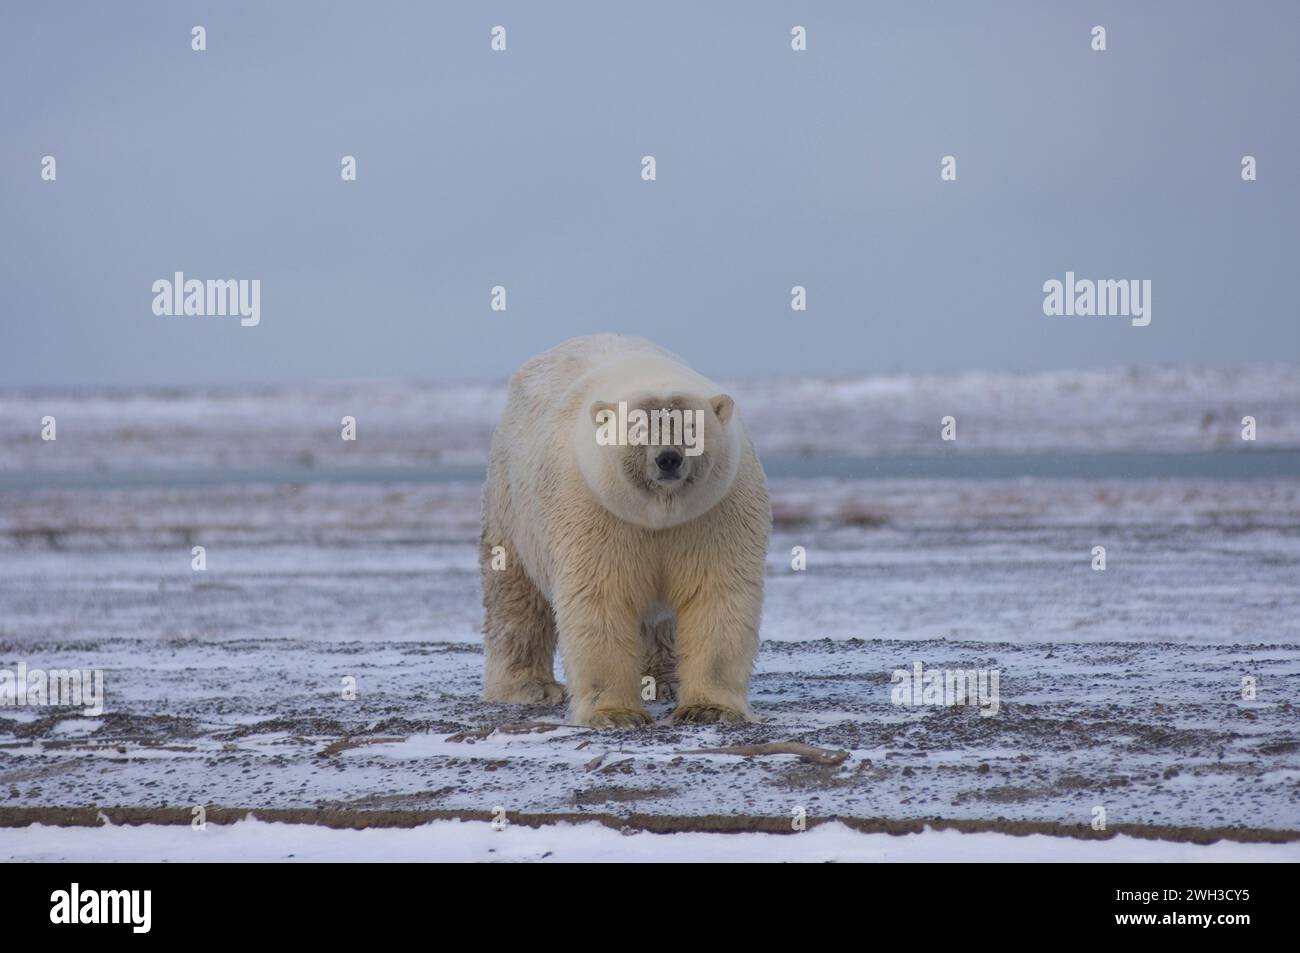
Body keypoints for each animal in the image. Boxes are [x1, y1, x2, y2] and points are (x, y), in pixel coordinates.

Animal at [480, 334, 771, 727]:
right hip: (512, 503)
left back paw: (664, 681)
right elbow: (602, 596)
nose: (668, 458)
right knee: (515, 596)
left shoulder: (716, 510)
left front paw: (709, 709)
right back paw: (529, 687)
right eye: (639, 428)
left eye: (690, 427)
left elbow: (716, 594)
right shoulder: (594, 508)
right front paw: (615, 714)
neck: (659, 511)